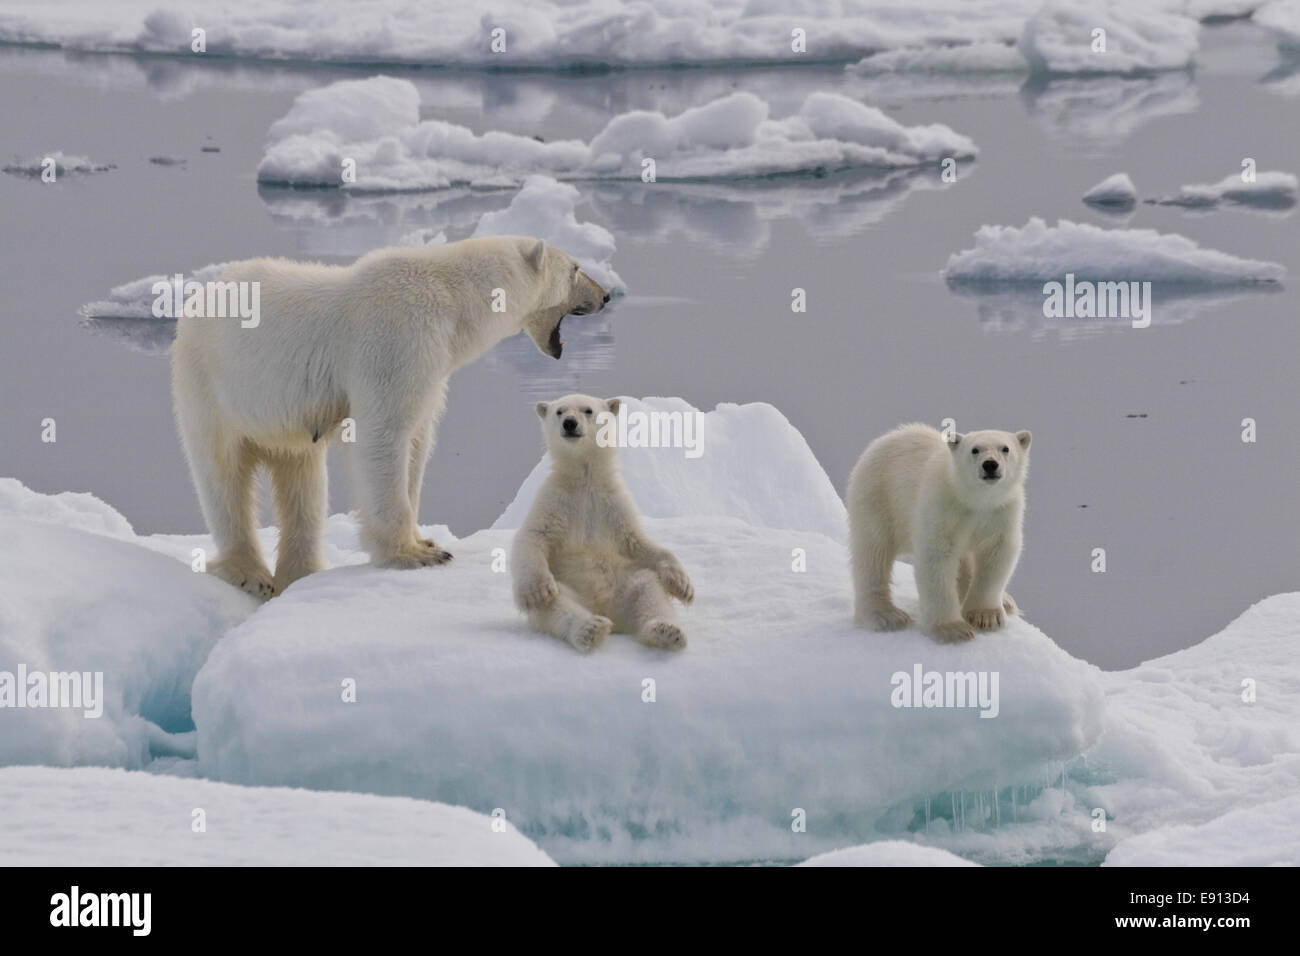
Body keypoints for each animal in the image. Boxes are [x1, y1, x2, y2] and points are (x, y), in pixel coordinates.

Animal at [171, 236, 609, 600]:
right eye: (575, 268)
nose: (605, 295)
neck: (453, 300)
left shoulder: (433, 363)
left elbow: (416, 438)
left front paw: (425, 541)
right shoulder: (397, 338)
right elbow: (384, 433)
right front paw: (413, 554)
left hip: (280, 418)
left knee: (302, 479)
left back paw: (301, 574)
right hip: (211, 384)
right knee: (222, 473)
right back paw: (249, 573)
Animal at [511, 395, 694, 653]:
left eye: (588, 410)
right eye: (559, 411)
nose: (569, 423)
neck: (586, 480)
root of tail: (608, 612)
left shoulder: (614, 503)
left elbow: (639, 542)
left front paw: (682, 585)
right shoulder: (554, 498)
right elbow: (533, 535)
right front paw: (537, 591)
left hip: (624, 585)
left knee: (648, 588)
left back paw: (667, 631)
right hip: (572, 588)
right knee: (559, 604)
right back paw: (590, 628)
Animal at [846, 423, 1031, 643]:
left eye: (1005, 448)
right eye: (975, 449)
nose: (990, 465)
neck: (974, 499)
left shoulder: (1001, 512)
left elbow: (997, 554)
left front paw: (986, 617)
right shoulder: (942, 506)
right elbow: (936, 558)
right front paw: (953, 629)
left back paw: (1006, 602)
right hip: (877, 497)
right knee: (873, 552)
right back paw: (885, 615)